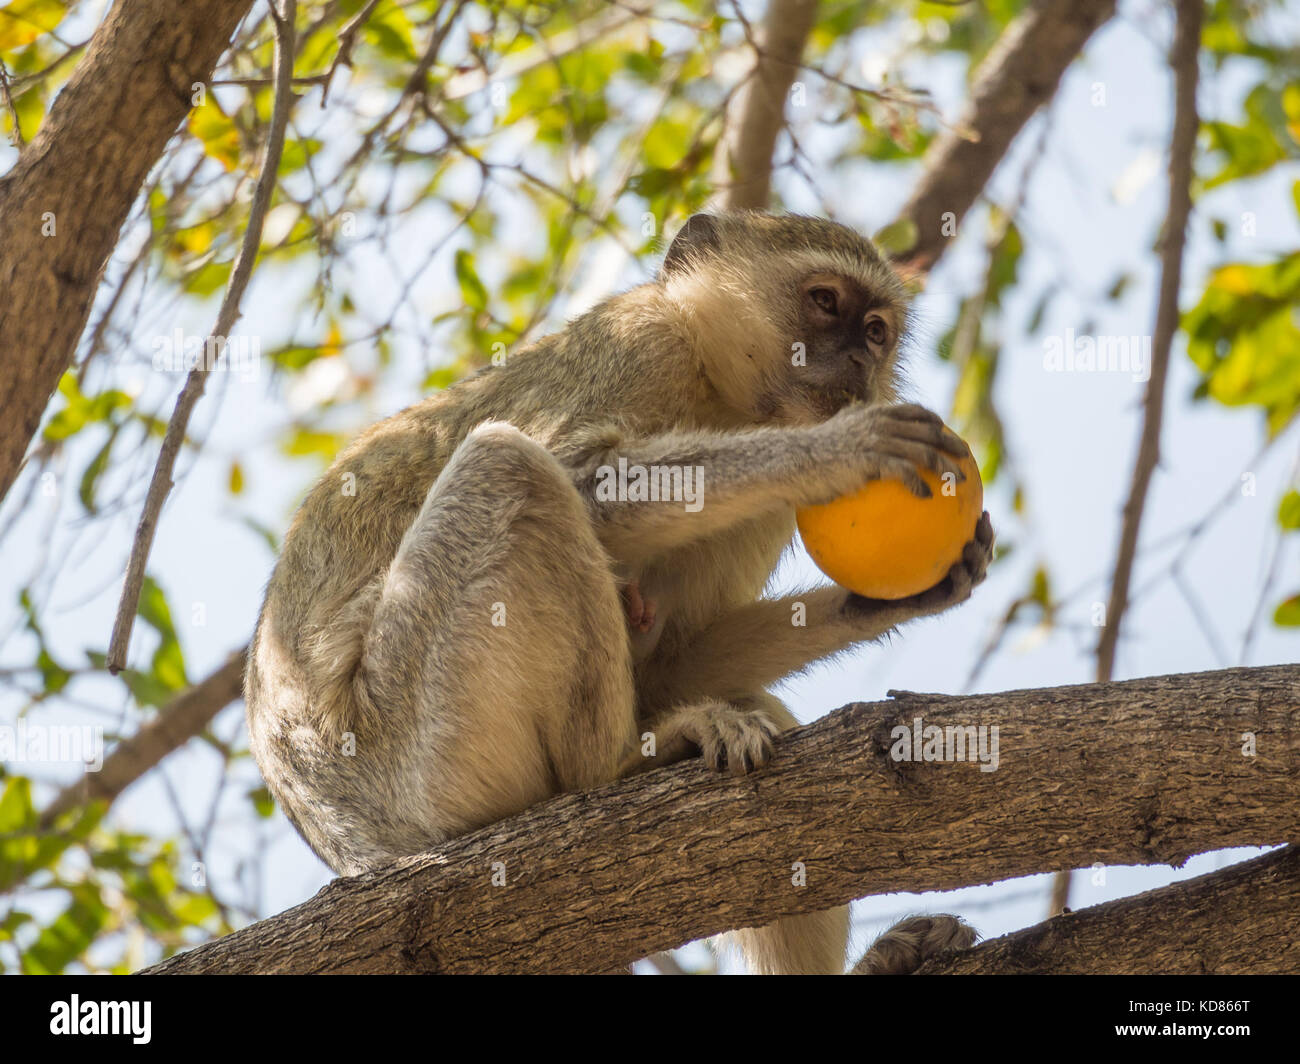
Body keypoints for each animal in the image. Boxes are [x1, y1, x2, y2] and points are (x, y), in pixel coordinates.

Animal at [245, 211, 993, 975]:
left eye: (875, 331)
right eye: (823, 301)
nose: (857, 369)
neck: (716, 391)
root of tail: (353, 847)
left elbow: (671, 661)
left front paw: (902, 596)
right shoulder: (639, 347)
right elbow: (581, 480)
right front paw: (840, 449)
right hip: (412, 763)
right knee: (511, 467)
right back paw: (621, 765)